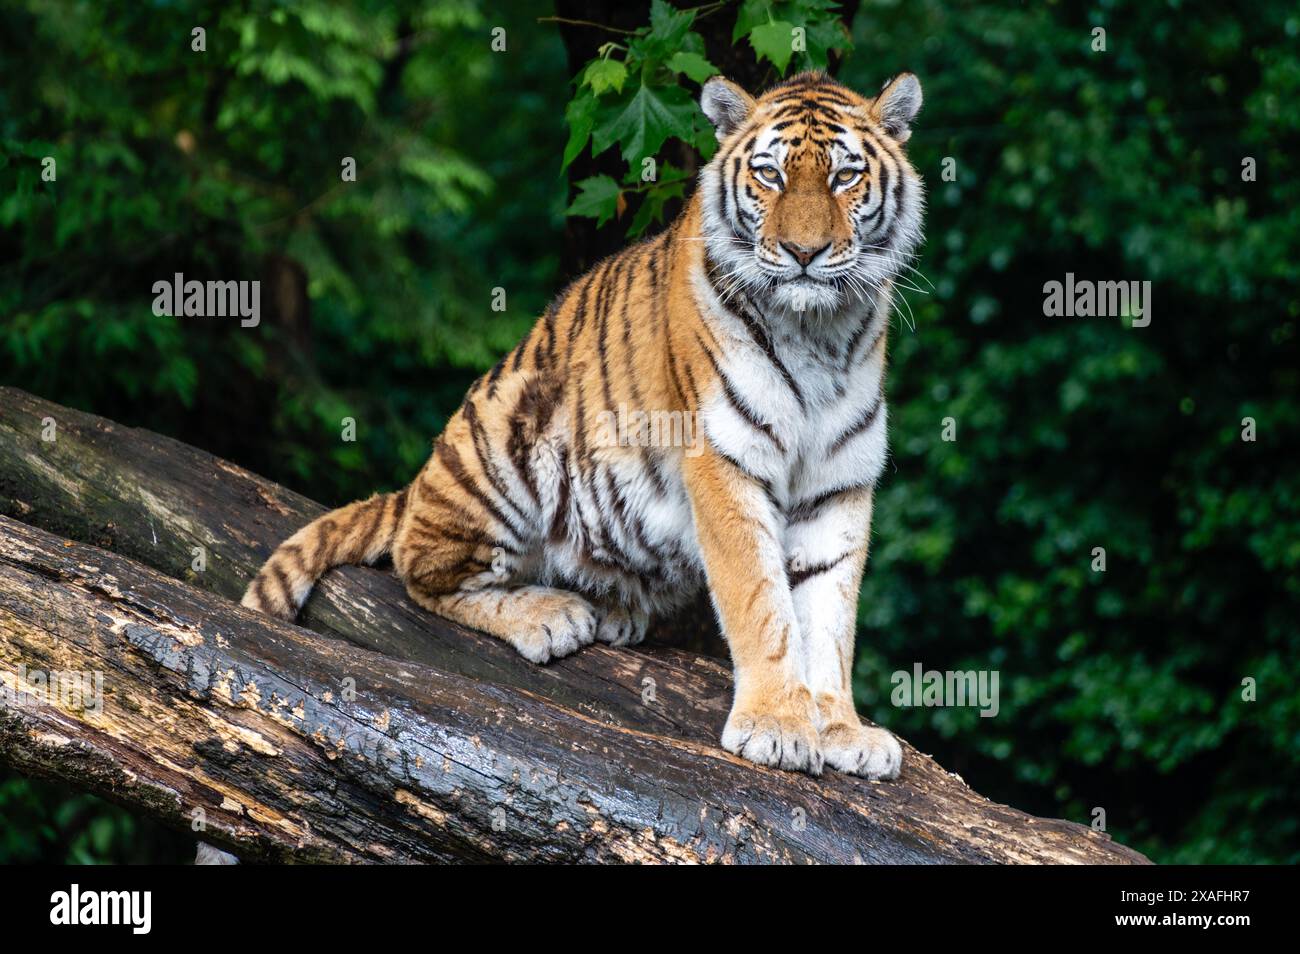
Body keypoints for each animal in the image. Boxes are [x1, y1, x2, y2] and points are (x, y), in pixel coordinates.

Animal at [242, 70, 925, 780]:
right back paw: (550, 616)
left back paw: (614, 610)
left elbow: (830, 617)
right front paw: (778, 727)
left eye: (844, 177)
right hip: (510, 427)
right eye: (770, 175)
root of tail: (418, 485)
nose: (804, 252)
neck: (820, 333)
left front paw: (841, 728)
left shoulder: (840, 482)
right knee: (421, 573)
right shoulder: (723, 461)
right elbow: (760, 601)